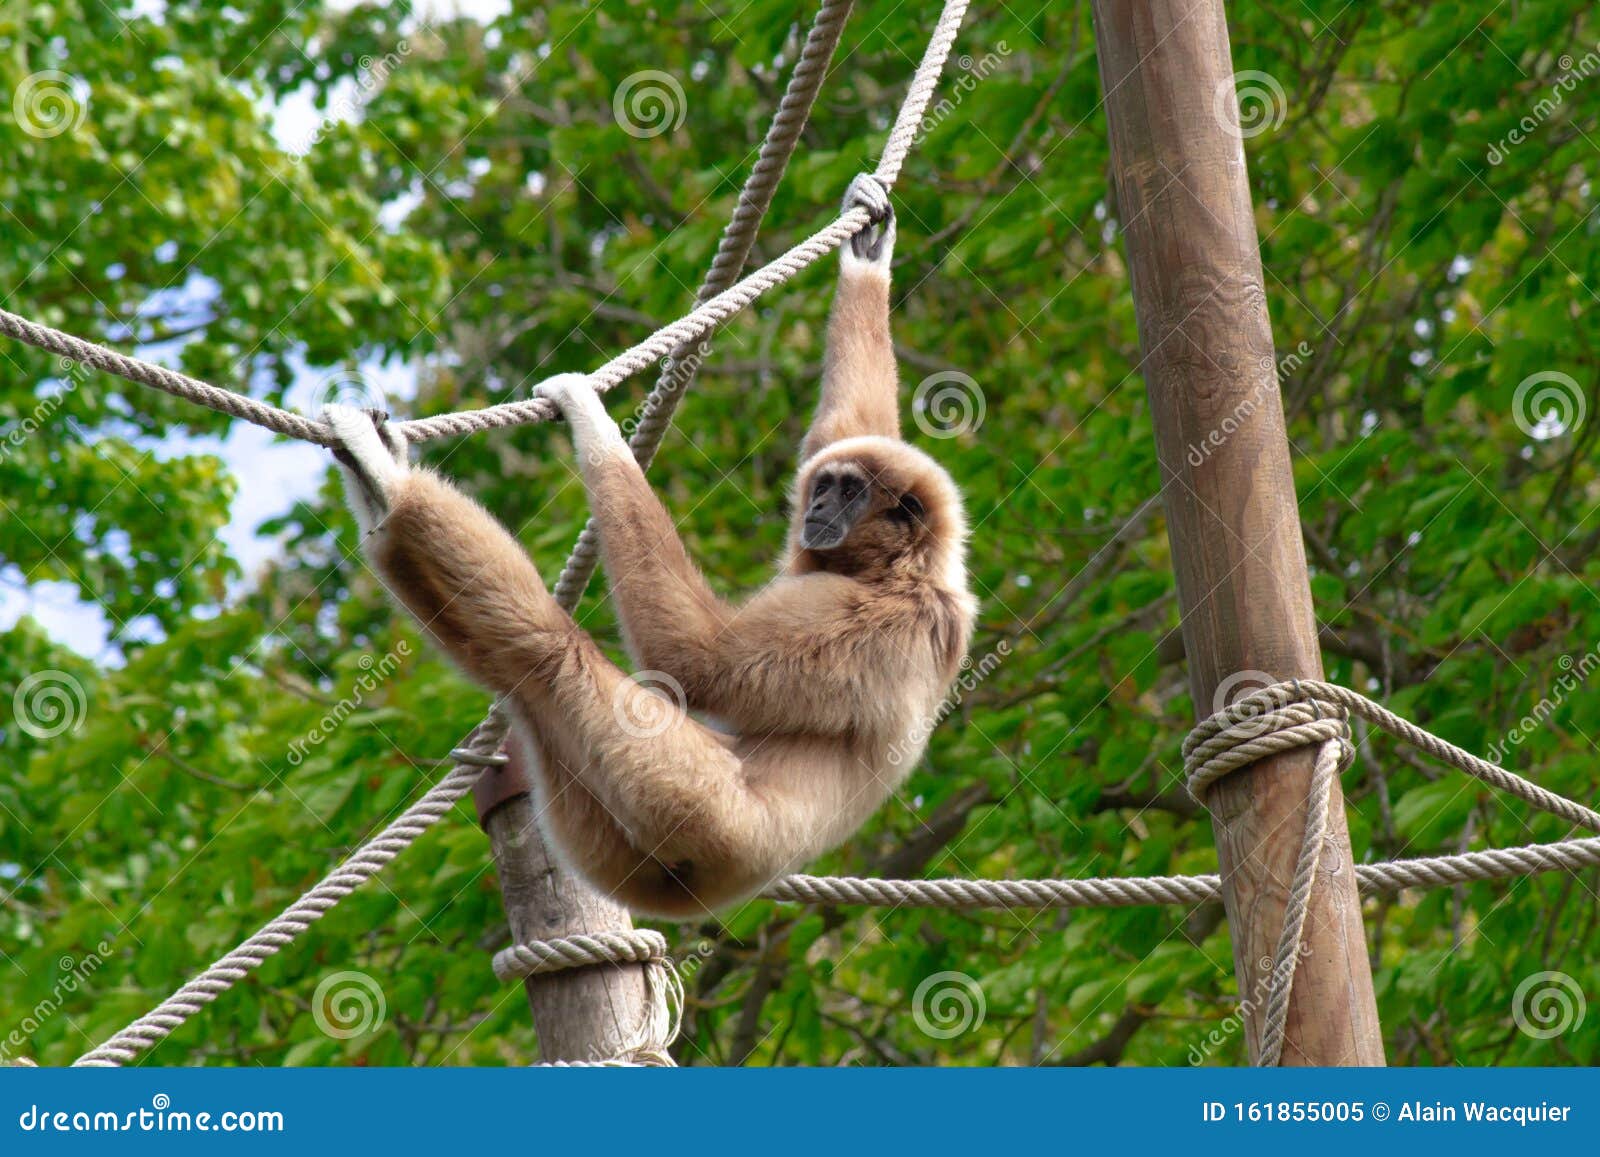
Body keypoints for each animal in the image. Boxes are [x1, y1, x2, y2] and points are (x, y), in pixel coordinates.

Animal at [326, 177, 976, 918]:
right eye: (824, 486)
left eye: (847, 493)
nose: (814, 507)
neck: (906, 573)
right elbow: (847, 423)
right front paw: (868, 253)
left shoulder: (868, 618)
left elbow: (697, 658)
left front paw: (596, 422)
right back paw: (379, 492)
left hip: (701, 808)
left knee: (547, 658)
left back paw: (388, 485)